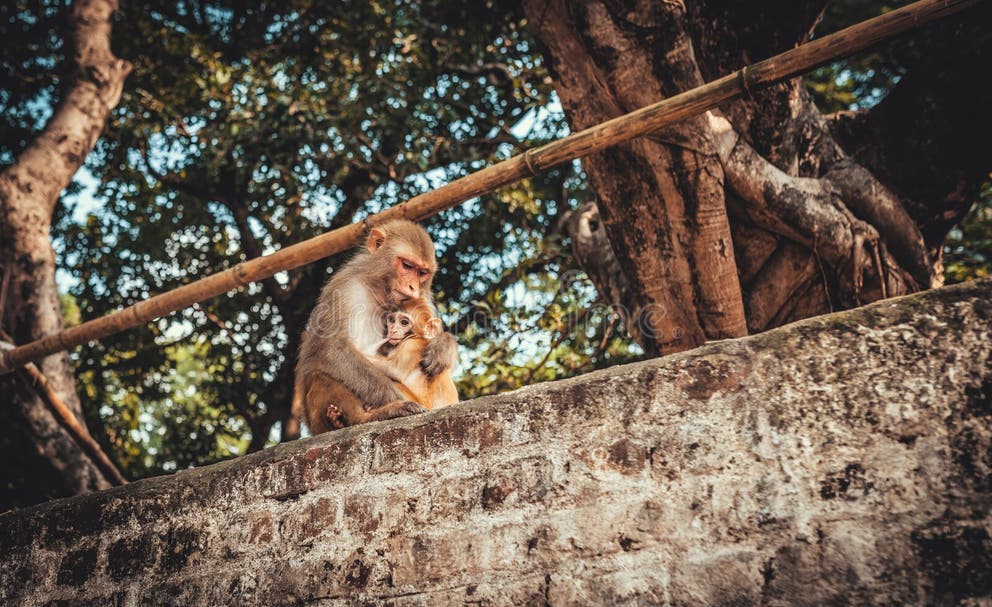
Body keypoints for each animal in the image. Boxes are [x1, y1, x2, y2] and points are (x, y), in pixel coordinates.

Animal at [295, 219, 458, 434]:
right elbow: (332, 349)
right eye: (407, 265)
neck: (380, 290)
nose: (413, 287)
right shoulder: (345, 288)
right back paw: (366, 417)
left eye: (422, 272)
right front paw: (395, 402)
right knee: (321, 371)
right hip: (318, 422)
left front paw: (444, 346)